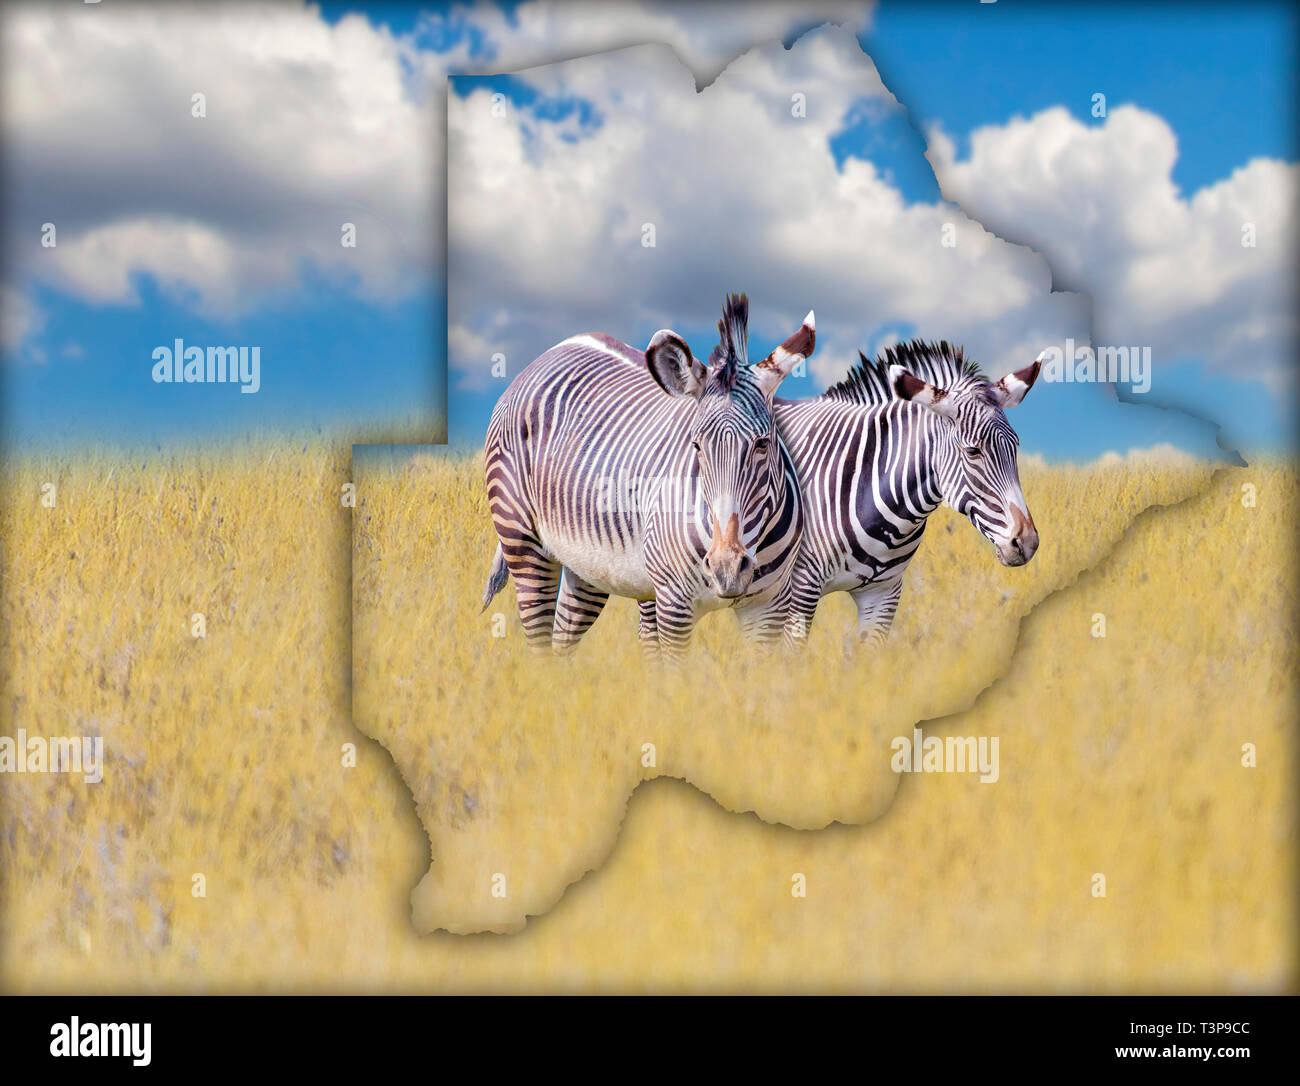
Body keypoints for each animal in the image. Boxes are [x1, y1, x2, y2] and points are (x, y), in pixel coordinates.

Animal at [480, 293, 816, 659]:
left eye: (762, 444)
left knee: (561, 642)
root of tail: (551, 352)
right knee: (539, 643)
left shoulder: (769, 607)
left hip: (587, 567)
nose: (726, 569)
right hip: (523, 543)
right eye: (696, 446)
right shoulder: (674, 603)